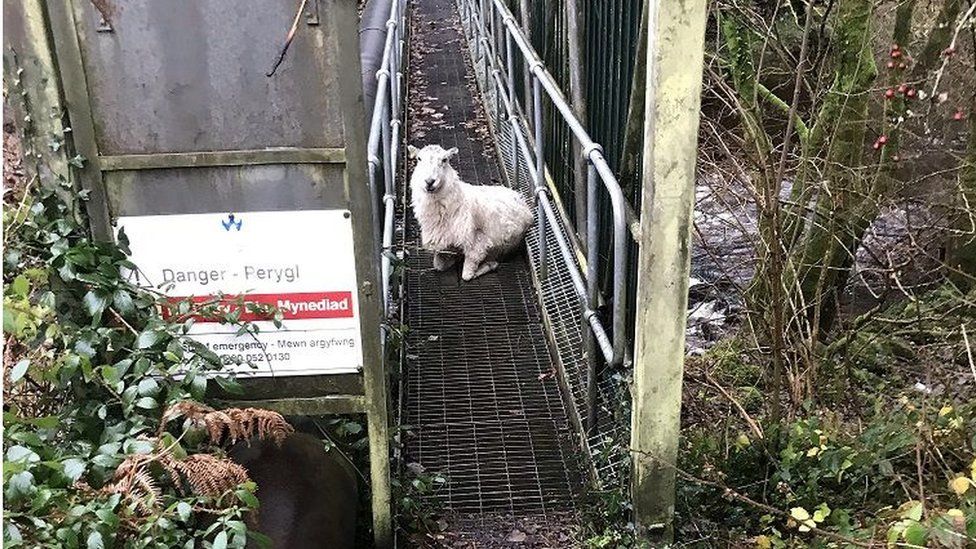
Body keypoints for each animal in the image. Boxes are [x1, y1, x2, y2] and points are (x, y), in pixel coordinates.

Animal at [408, 144, 534, 281]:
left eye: (445, 160)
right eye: (419, 159)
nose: (429, 182)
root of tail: (519, 197)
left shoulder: (477, 245)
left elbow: (466, 275)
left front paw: (489, 265)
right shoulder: (443, 246)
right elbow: (438, 266)